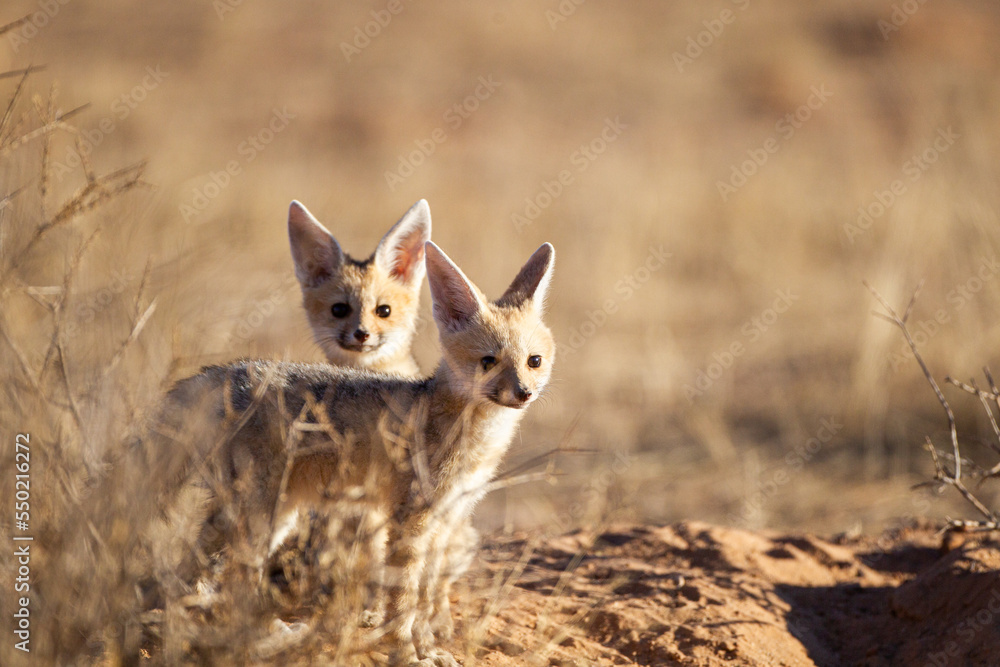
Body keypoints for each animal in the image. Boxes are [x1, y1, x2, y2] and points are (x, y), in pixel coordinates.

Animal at [158, 240, 555, 665]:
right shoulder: (411, 522)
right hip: (259, 517)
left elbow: (427, 597)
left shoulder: (446, 520)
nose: (523, 393)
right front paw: (407, 653)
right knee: (224, 578)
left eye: (533, 361)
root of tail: (225, 371)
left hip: (275, 515)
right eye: (488, 362)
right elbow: (404, 597)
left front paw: (429, 647)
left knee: (201, 571)